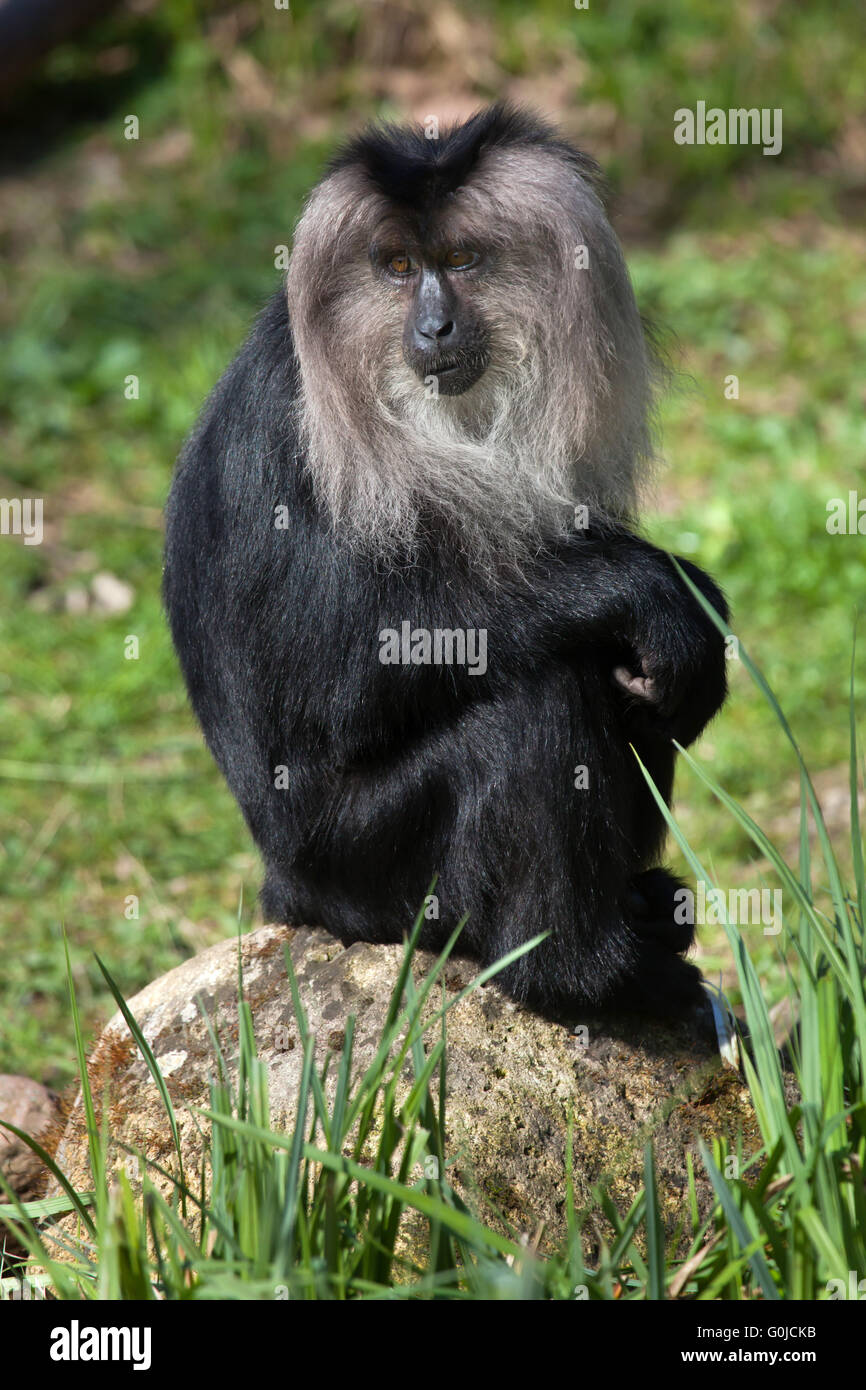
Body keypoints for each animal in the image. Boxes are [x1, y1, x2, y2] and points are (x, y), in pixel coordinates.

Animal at [163, 104, 729, 1018]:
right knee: (536, 699)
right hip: (359, 868)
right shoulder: (287, 420)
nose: (433, 326)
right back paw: (584, 973)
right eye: (397, 268)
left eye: (460, 261)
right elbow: (336, 672)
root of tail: (286, 890)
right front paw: (658, 590)